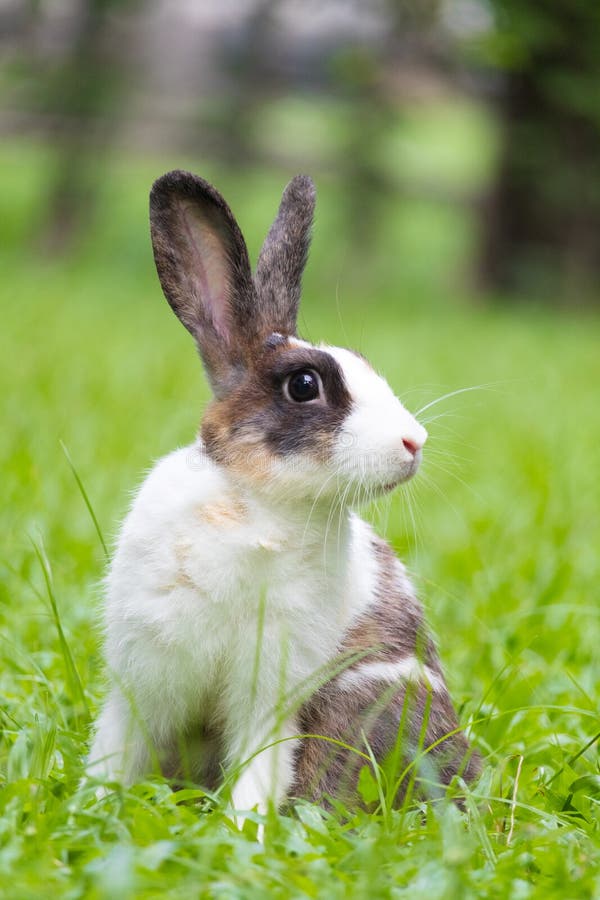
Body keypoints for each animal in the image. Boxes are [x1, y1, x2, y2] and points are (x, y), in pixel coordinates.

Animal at [87, 170, 480, 816]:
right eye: (304, 385)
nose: (413, 442)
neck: (255, 507)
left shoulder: (274, 691)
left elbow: (260, 765)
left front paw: (244, 827)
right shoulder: (142, 678)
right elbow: (118, 747)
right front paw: (94, 803)